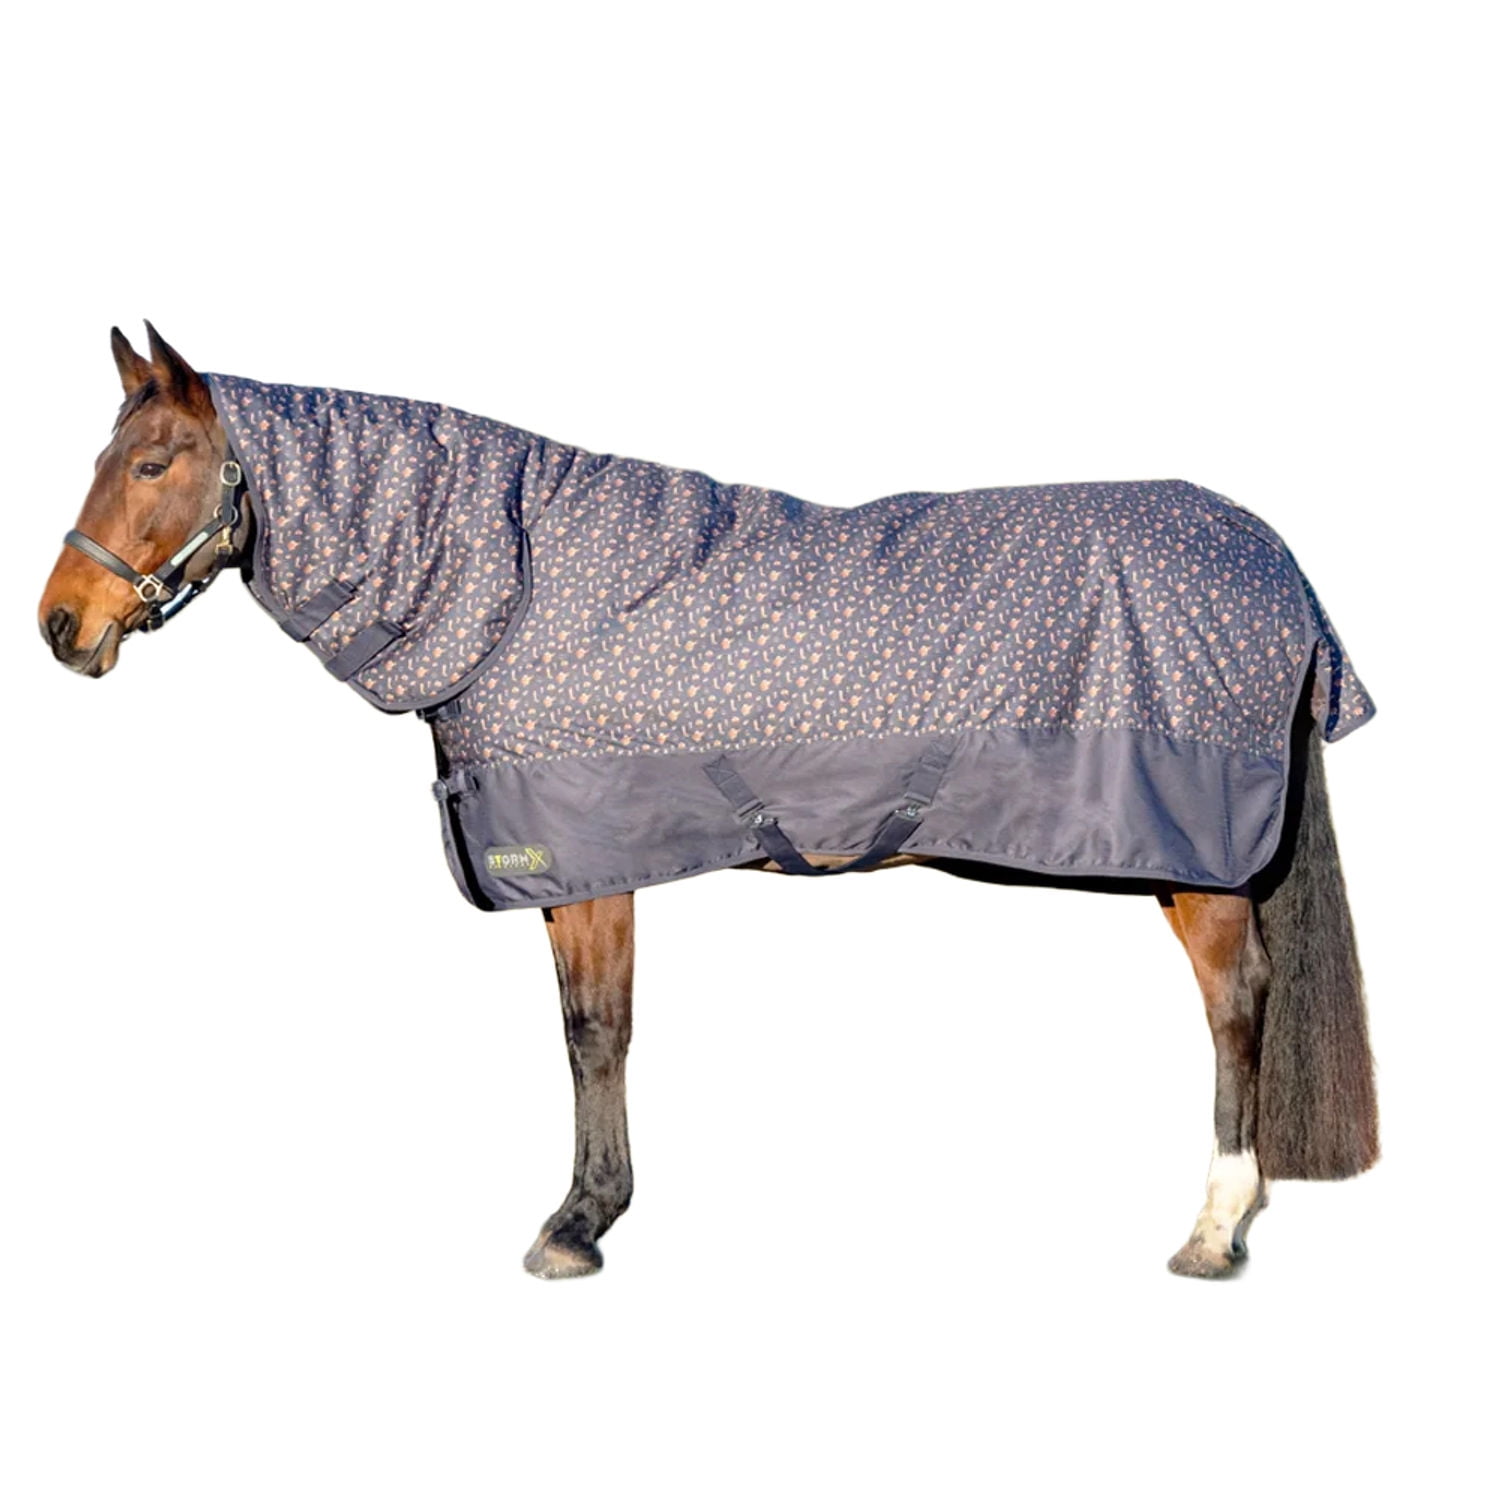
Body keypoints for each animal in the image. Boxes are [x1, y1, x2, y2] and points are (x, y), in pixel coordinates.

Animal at [37, 323, 1379, 1279]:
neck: (514, 584)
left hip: (1197, 854)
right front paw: (592, 1212)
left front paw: (576, 1225)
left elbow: (596, 1035)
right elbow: (586, 1030)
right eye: (105, 459)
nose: (61, 625)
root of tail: (1281, 565)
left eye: (153, 462)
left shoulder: (593, 864)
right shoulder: (567, 867)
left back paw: (1213, 1230)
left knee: (1236, 1003)